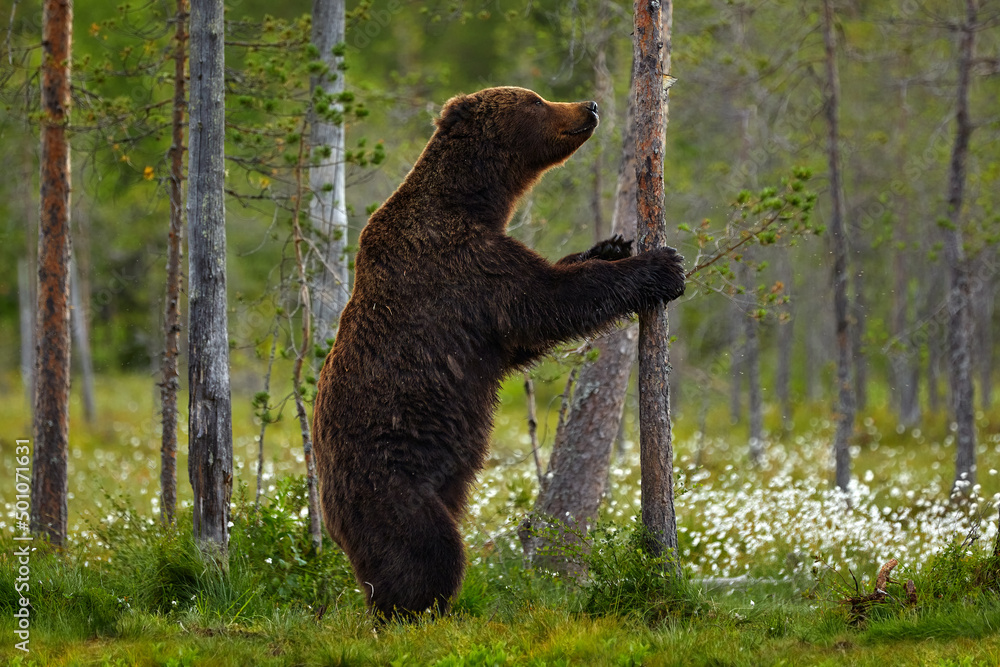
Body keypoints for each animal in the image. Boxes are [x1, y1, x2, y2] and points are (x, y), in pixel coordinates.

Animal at [312, 86, 686, 621]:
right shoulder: (462, 265)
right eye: (535, 101)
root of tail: (326, 510)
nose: (589, 107)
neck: (473, 201)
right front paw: (662, 265)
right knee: (425, 550)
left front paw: (611, 246)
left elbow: (527, 330)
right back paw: (419, 613)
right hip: (389, 482)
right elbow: (546, 300)